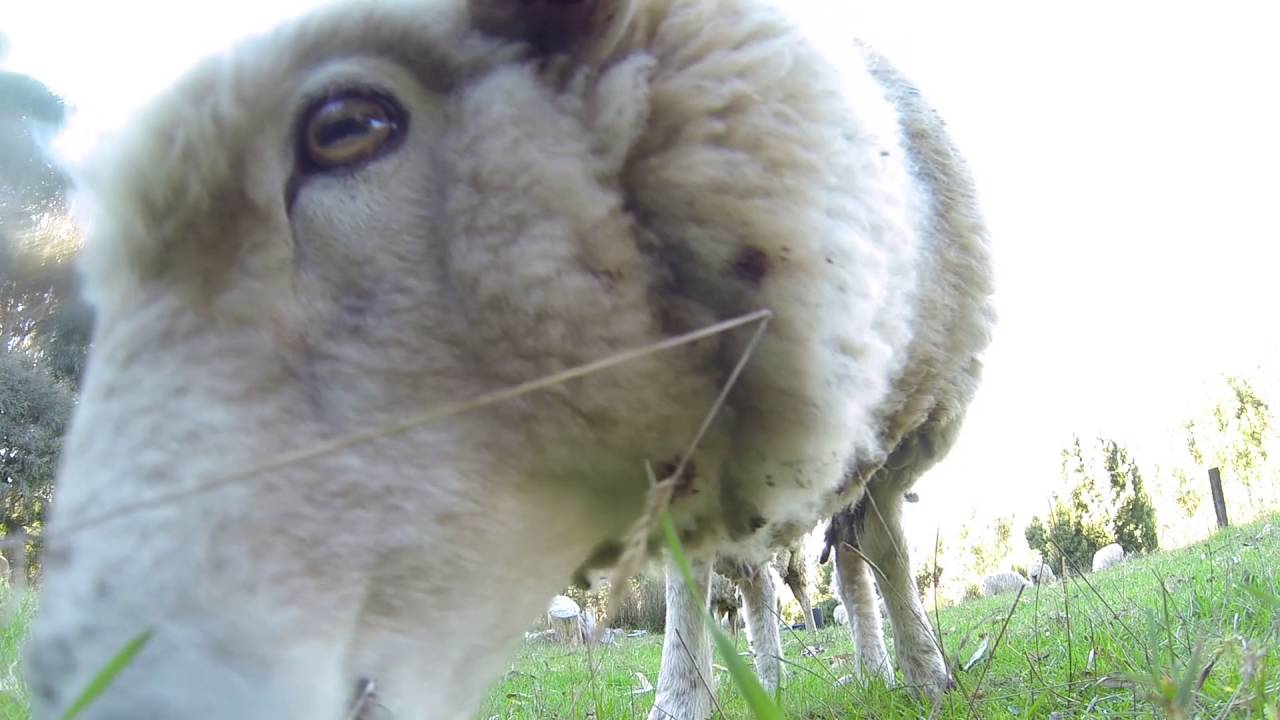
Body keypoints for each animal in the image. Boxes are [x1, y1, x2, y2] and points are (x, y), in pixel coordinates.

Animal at [25, 0, 995, 718]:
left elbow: (887, 550)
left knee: (851, 560)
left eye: (348, 126)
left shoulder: (898, 432)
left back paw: (879, 665)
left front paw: (925, 675)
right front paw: (684, 699)